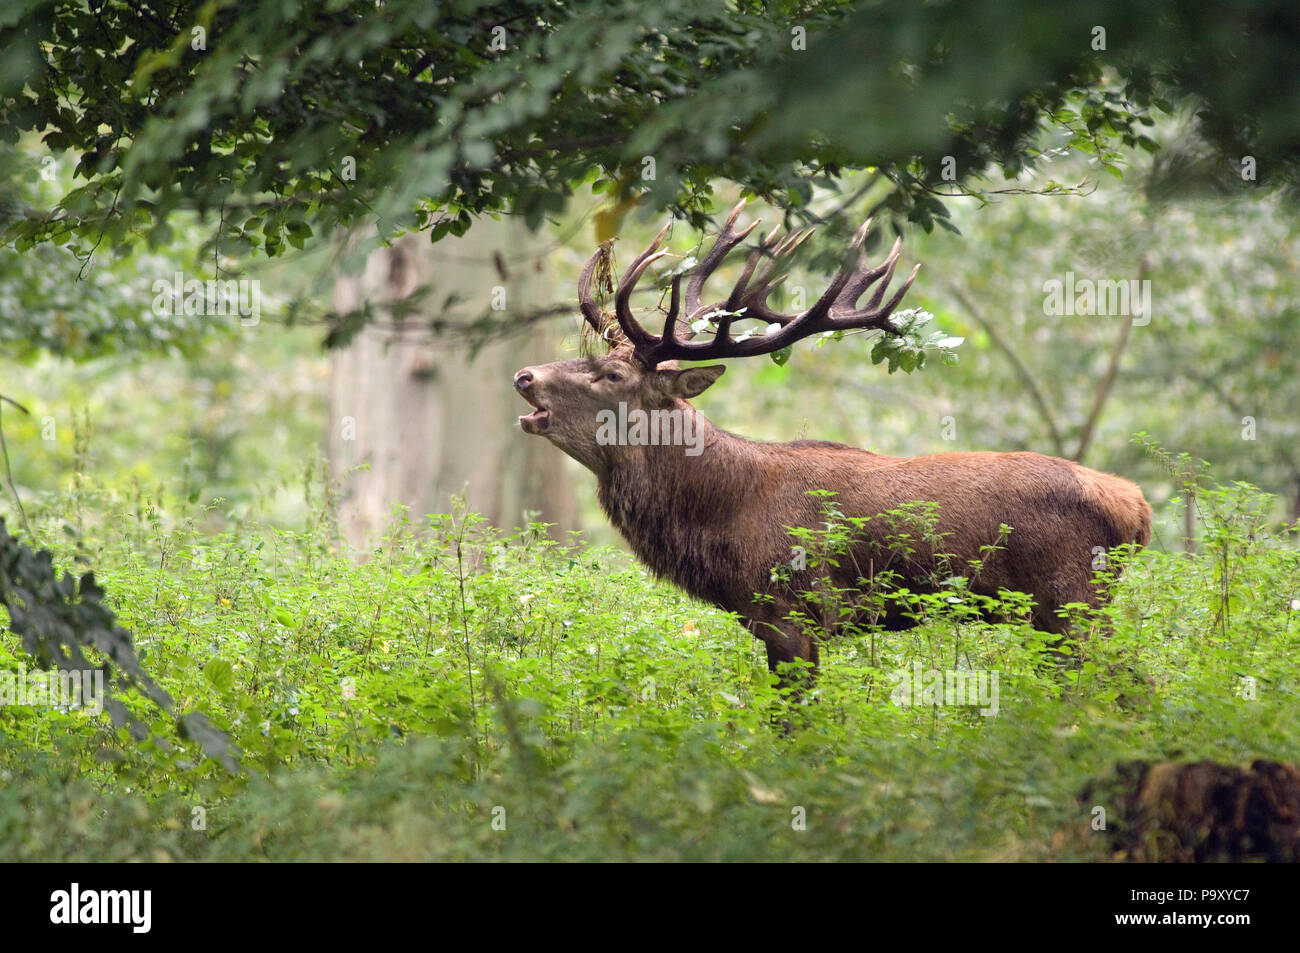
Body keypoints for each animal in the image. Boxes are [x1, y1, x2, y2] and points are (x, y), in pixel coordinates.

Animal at [514, 201, 1151, 682]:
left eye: (612, 375)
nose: (524, 376)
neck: (720, 514)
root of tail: (1137, 508)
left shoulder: (795, 610)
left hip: (1071, 599)